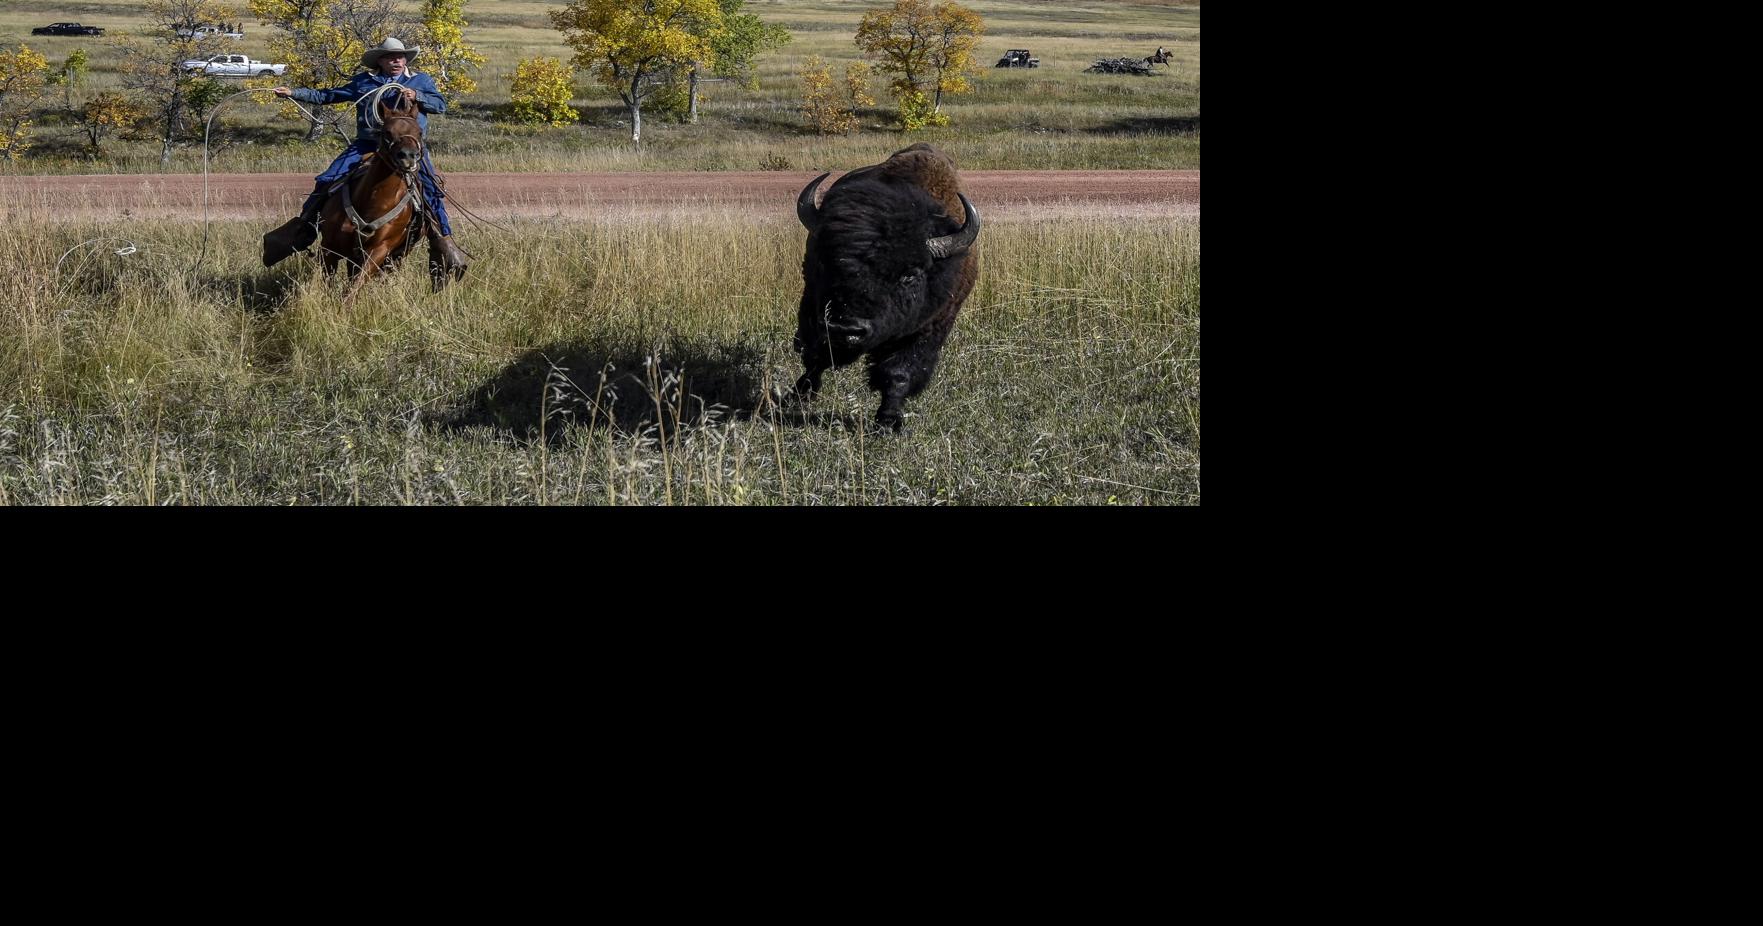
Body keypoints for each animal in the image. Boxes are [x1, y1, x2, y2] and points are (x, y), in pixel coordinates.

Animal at [791, 143, 981, 432]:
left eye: (910, 275)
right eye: (824, 261)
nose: (846, 329)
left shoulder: (930, 327)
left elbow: (898, 373)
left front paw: (888, 422)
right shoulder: (814, 309)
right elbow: (817, 355)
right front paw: (797, 396)